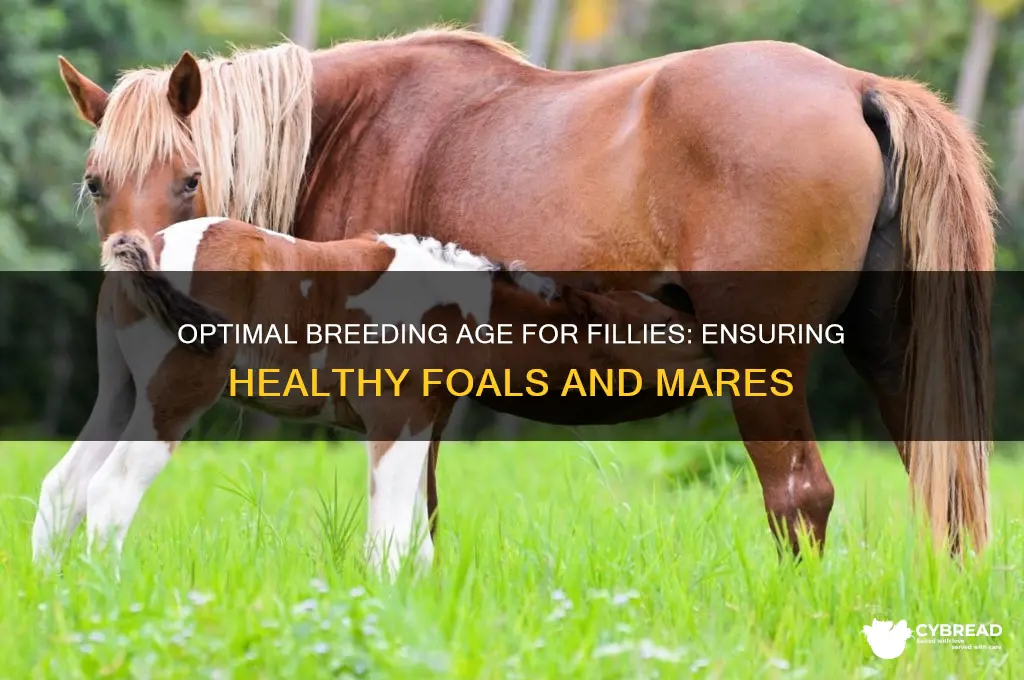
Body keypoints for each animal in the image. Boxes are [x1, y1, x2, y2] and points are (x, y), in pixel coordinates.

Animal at [31, 217, 708, 573]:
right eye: (655, 322)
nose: (713, 345)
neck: (458, 305)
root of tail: (149, 244)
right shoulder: (395, 423)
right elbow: (388, 540)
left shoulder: (422, 428)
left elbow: (417, 540)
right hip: (175, 393)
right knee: (110, 490)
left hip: (122, 391)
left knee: (65, 486)